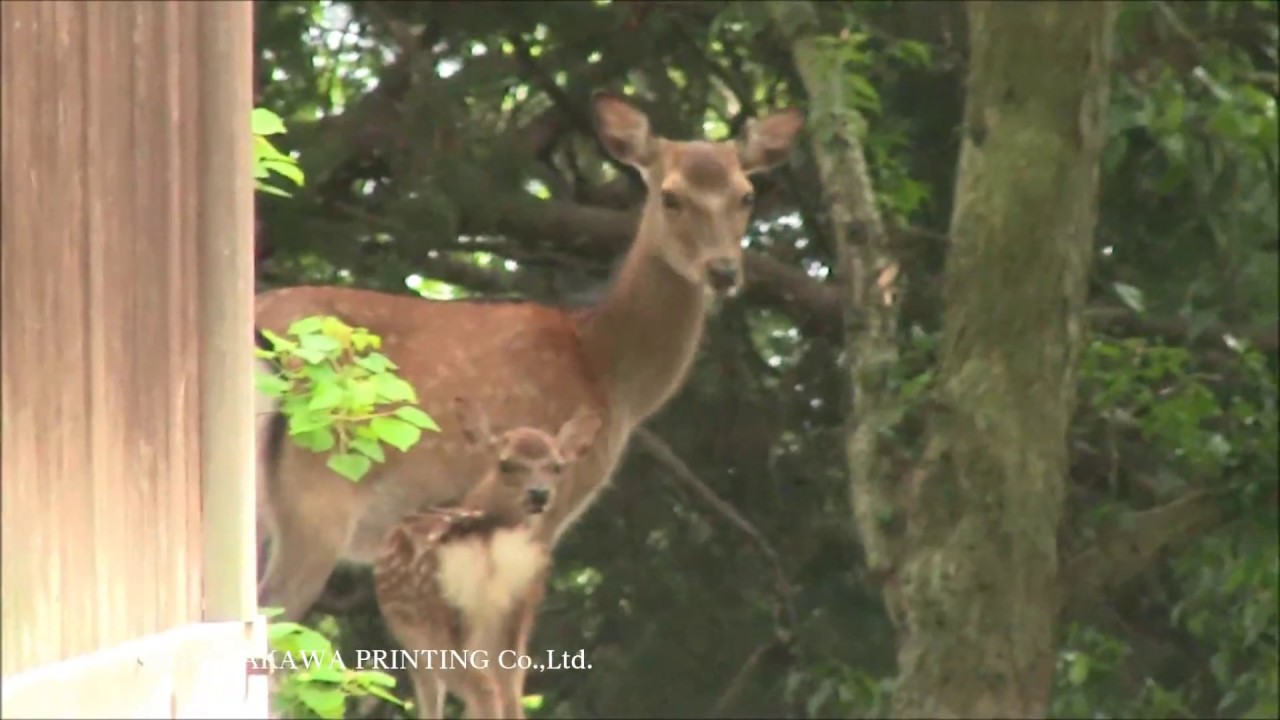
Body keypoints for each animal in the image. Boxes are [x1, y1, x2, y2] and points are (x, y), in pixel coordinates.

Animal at [254, 91, 804, 624]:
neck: (607, 373)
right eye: (670, 196)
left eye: (746, 195)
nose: (724, 271)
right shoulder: (545, 501)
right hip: (321, 491)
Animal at [373, 397, 601, 719]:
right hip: (516, 610)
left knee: (479, 686)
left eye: (557, 466)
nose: (539, 493)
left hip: (433, 622)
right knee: (509, 688)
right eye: (506, 463)